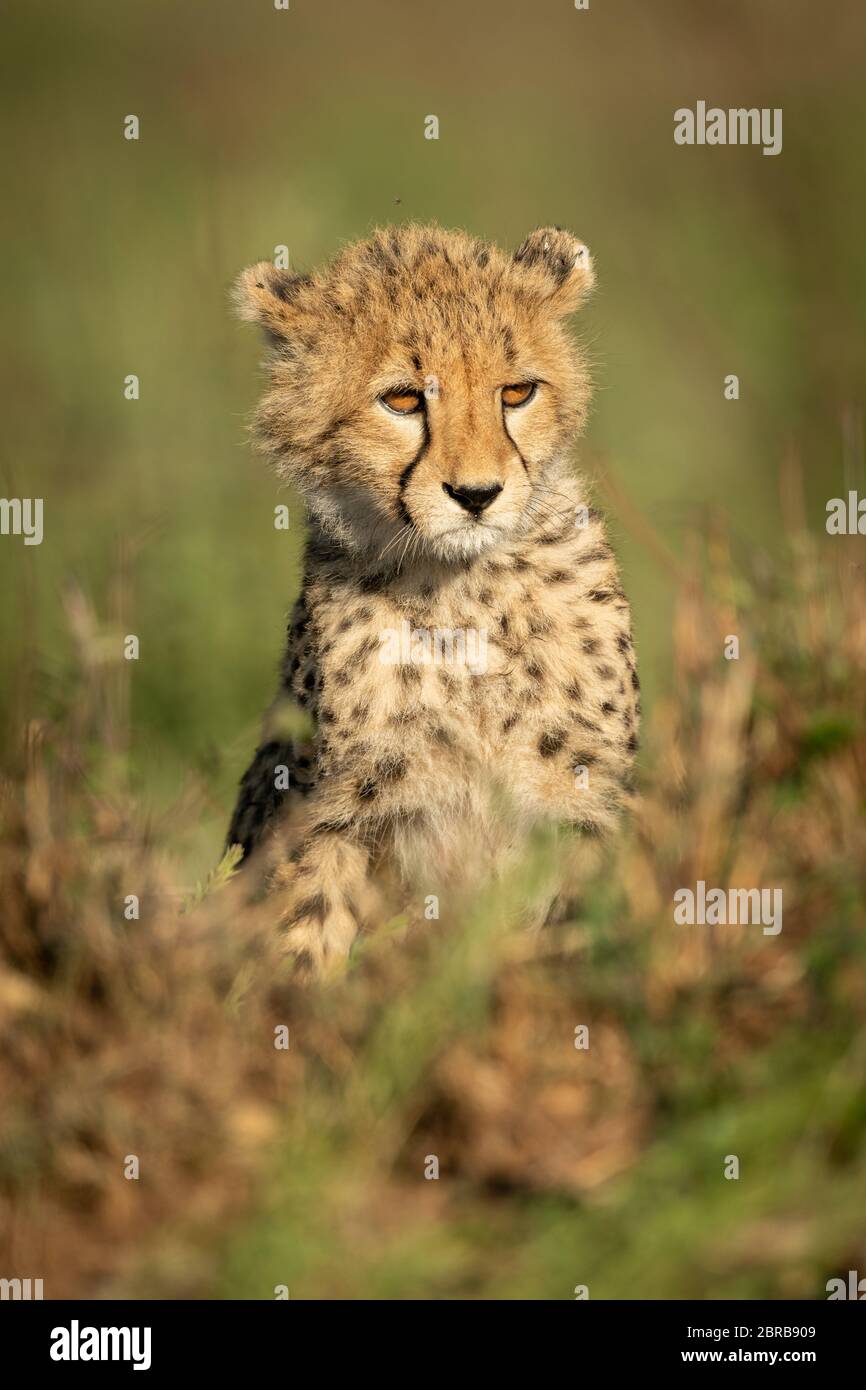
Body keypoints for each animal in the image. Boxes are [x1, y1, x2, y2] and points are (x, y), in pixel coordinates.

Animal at [226, 223, 639, 976]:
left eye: (517, 392)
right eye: (403, 400)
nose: (477, 495)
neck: (463, 587)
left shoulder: (586, 800)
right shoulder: (328, 808)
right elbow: (306, 934)